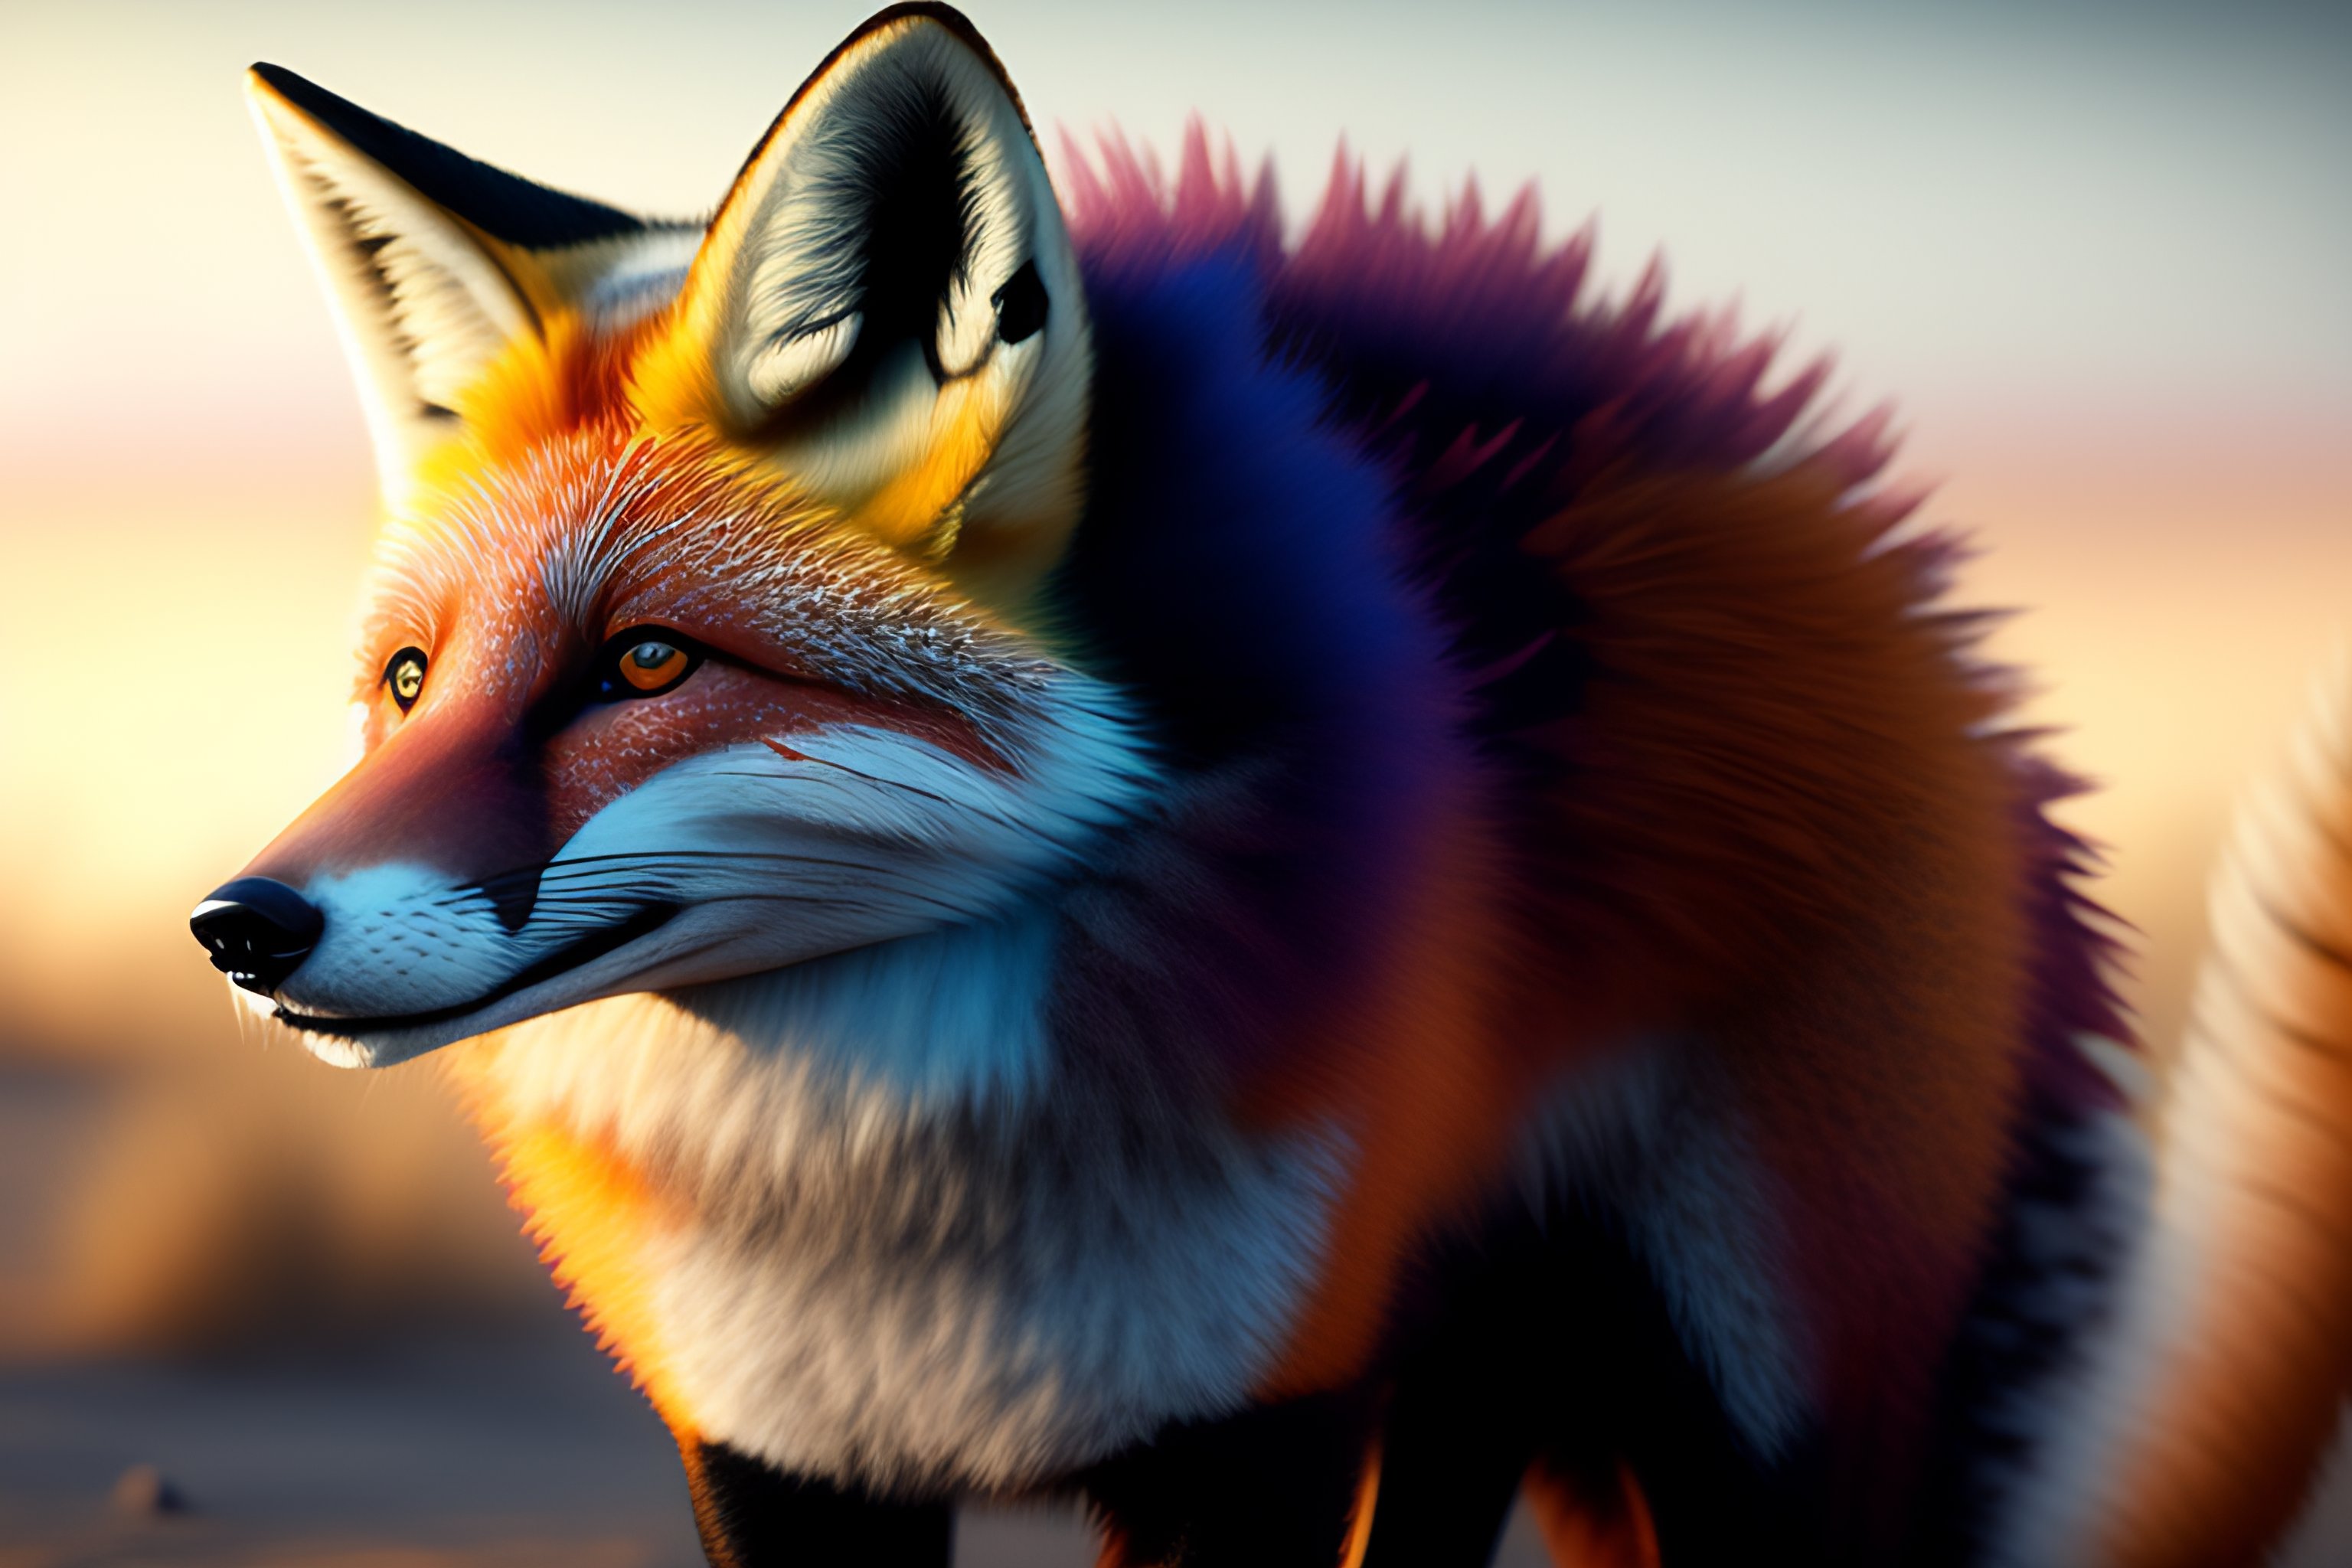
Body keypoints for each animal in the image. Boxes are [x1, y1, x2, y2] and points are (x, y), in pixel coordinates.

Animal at [187, 5, 2352, 1565]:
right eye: (407, 685)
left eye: (645, 663)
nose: (236, 926)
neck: (903, 1199)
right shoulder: (785, 1452)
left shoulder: (1253, 1427)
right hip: (1477, 1360)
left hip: (1746, 1405)